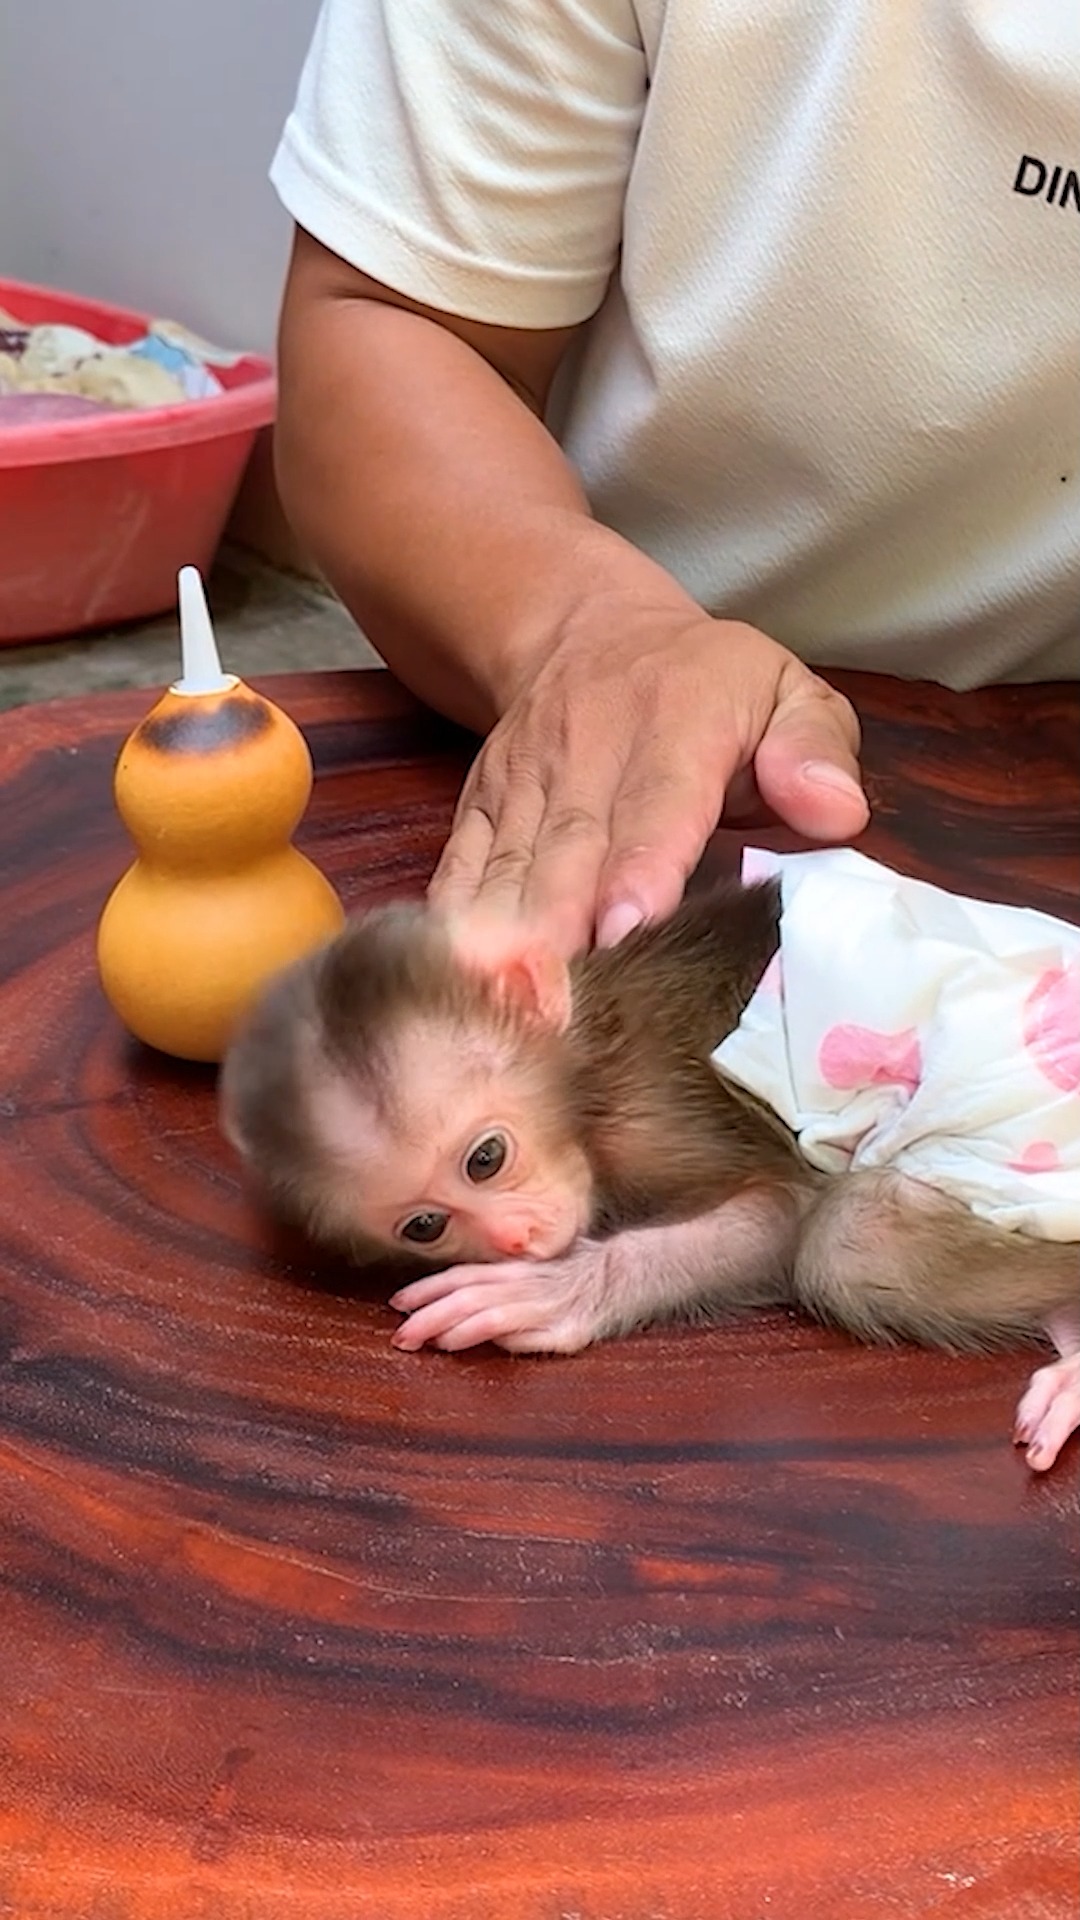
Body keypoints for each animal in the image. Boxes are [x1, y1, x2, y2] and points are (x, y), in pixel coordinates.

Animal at [219, 877, 1080, 1473]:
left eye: (485, 1158)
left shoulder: (650, 1111)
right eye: (425, 1225)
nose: (516, 1238)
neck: (584, 1063)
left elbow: (784, 1212)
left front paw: (556, 1290)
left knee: (852, 1241)